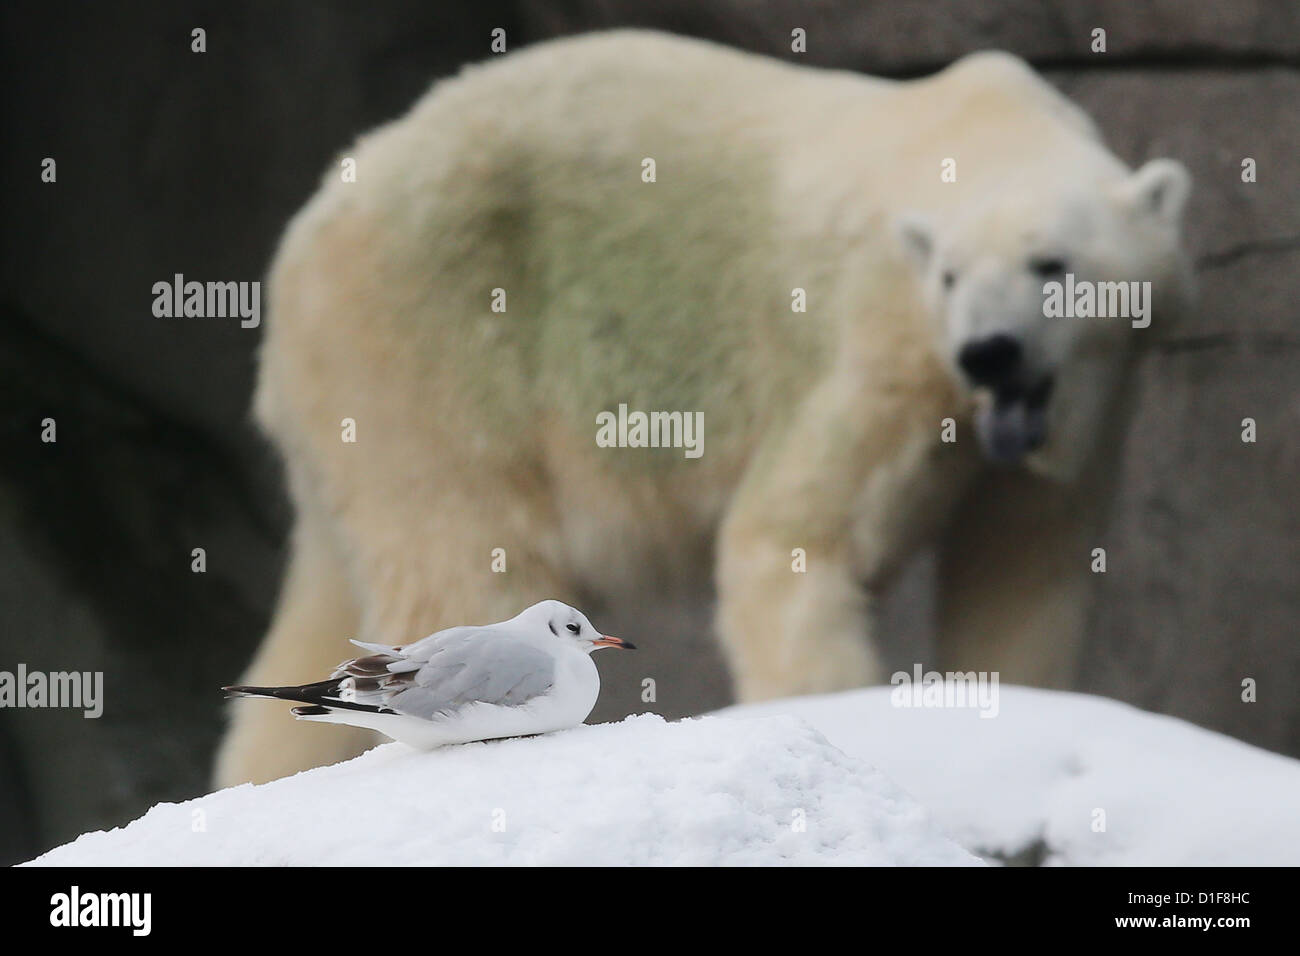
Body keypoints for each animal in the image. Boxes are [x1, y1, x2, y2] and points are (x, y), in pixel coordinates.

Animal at [214, 30, 1193, 787]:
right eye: (948, 275)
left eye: (1051, 263)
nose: (987, 350)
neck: (975, 128)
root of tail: (300, 243)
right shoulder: (874, 344)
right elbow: (790, 542)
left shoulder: (1090, 395)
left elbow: (1026, 564)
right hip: (423, 341)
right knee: (459, 549)